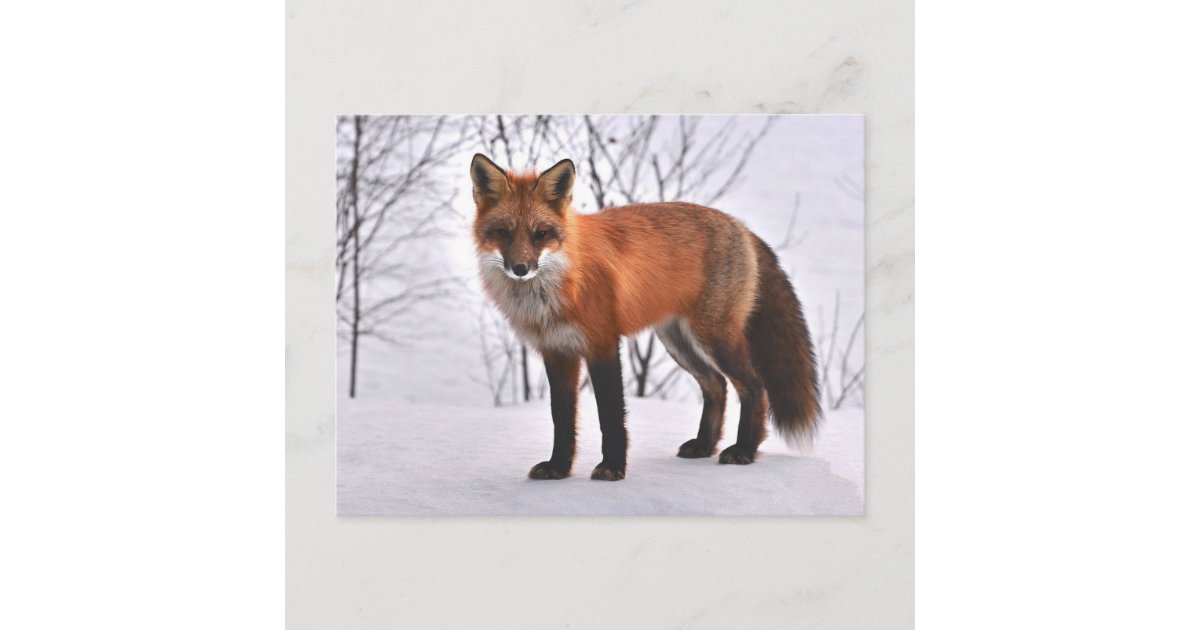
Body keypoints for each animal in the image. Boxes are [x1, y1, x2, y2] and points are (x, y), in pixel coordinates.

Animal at [470, 153, 821, 481]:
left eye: (540, 234)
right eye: (503, 232)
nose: (520, 268)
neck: (557, 288)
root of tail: (740, 225)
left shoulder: (602, 344)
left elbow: (611, 415)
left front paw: (612, 468)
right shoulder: (557, 352)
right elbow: (562, 419)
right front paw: (559, 468)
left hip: (714, 337)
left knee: (754, 387)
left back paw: (745, 450)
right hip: (678, 342)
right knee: (716, 385)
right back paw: (704, 446)